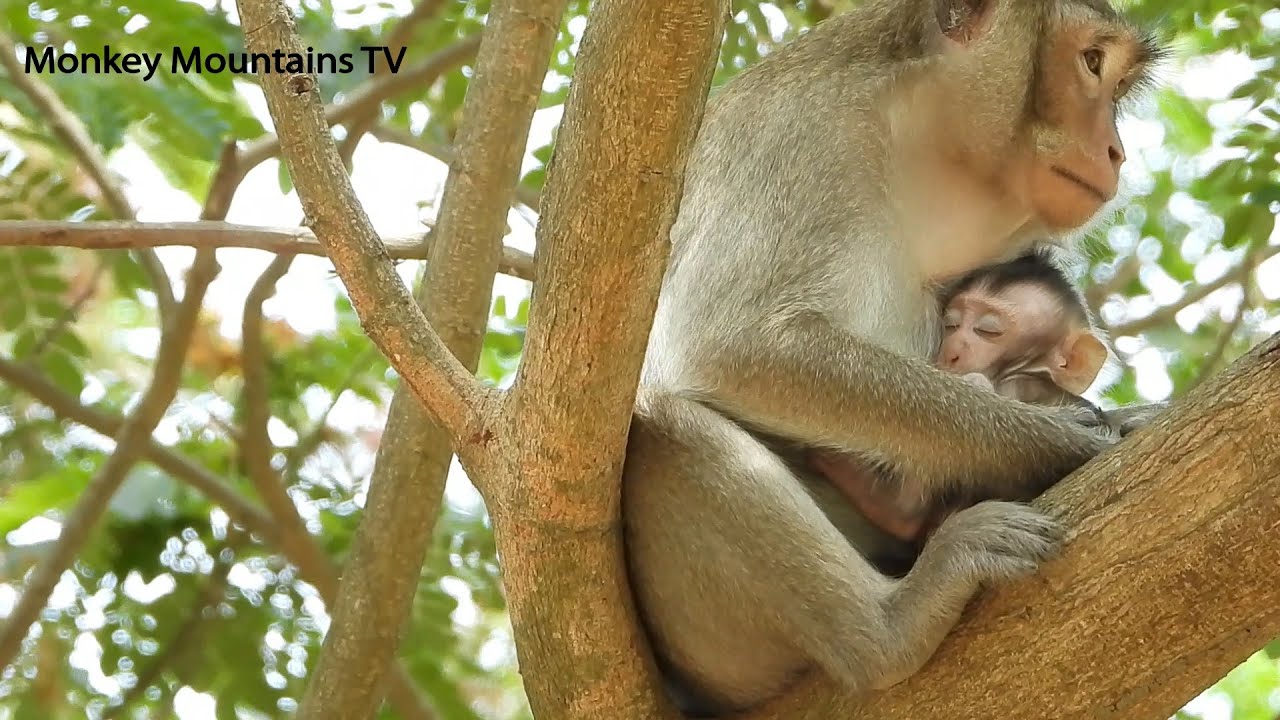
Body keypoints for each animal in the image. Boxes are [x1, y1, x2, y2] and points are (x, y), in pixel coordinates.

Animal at [619, 0, 1166, 715]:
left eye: (1118, 82)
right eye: (1092, 62)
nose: (1114, 149)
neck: (918, 145)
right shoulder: (801, 135)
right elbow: (733, 345)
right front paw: (1075, 439)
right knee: (658, 421)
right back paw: (889, 632)